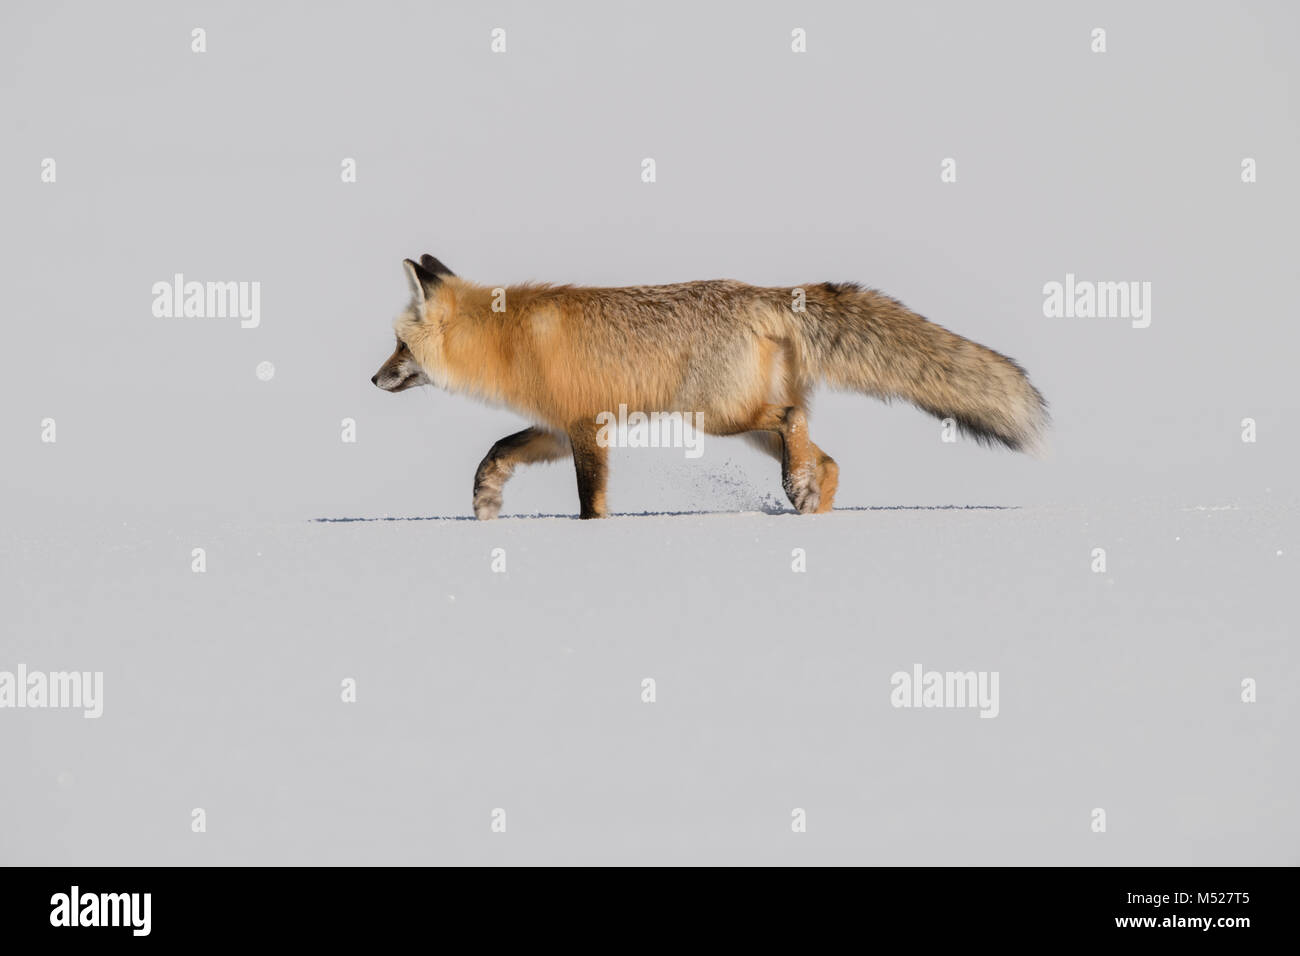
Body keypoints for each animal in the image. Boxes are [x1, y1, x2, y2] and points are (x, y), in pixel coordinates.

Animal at [372, 255, 1048, 519]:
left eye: (400, 348)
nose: (373, 378)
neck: (508, 337)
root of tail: (763, 293)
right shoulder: (556, 427)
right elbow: (496, 452)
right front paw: (486, 499)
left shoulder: (588, 426)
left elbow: (591, 500)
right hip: (739, 425)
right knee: (825, 456)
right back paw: (811, 504)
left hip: (719, 417)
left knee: (793, 420)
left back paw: (795, 488)